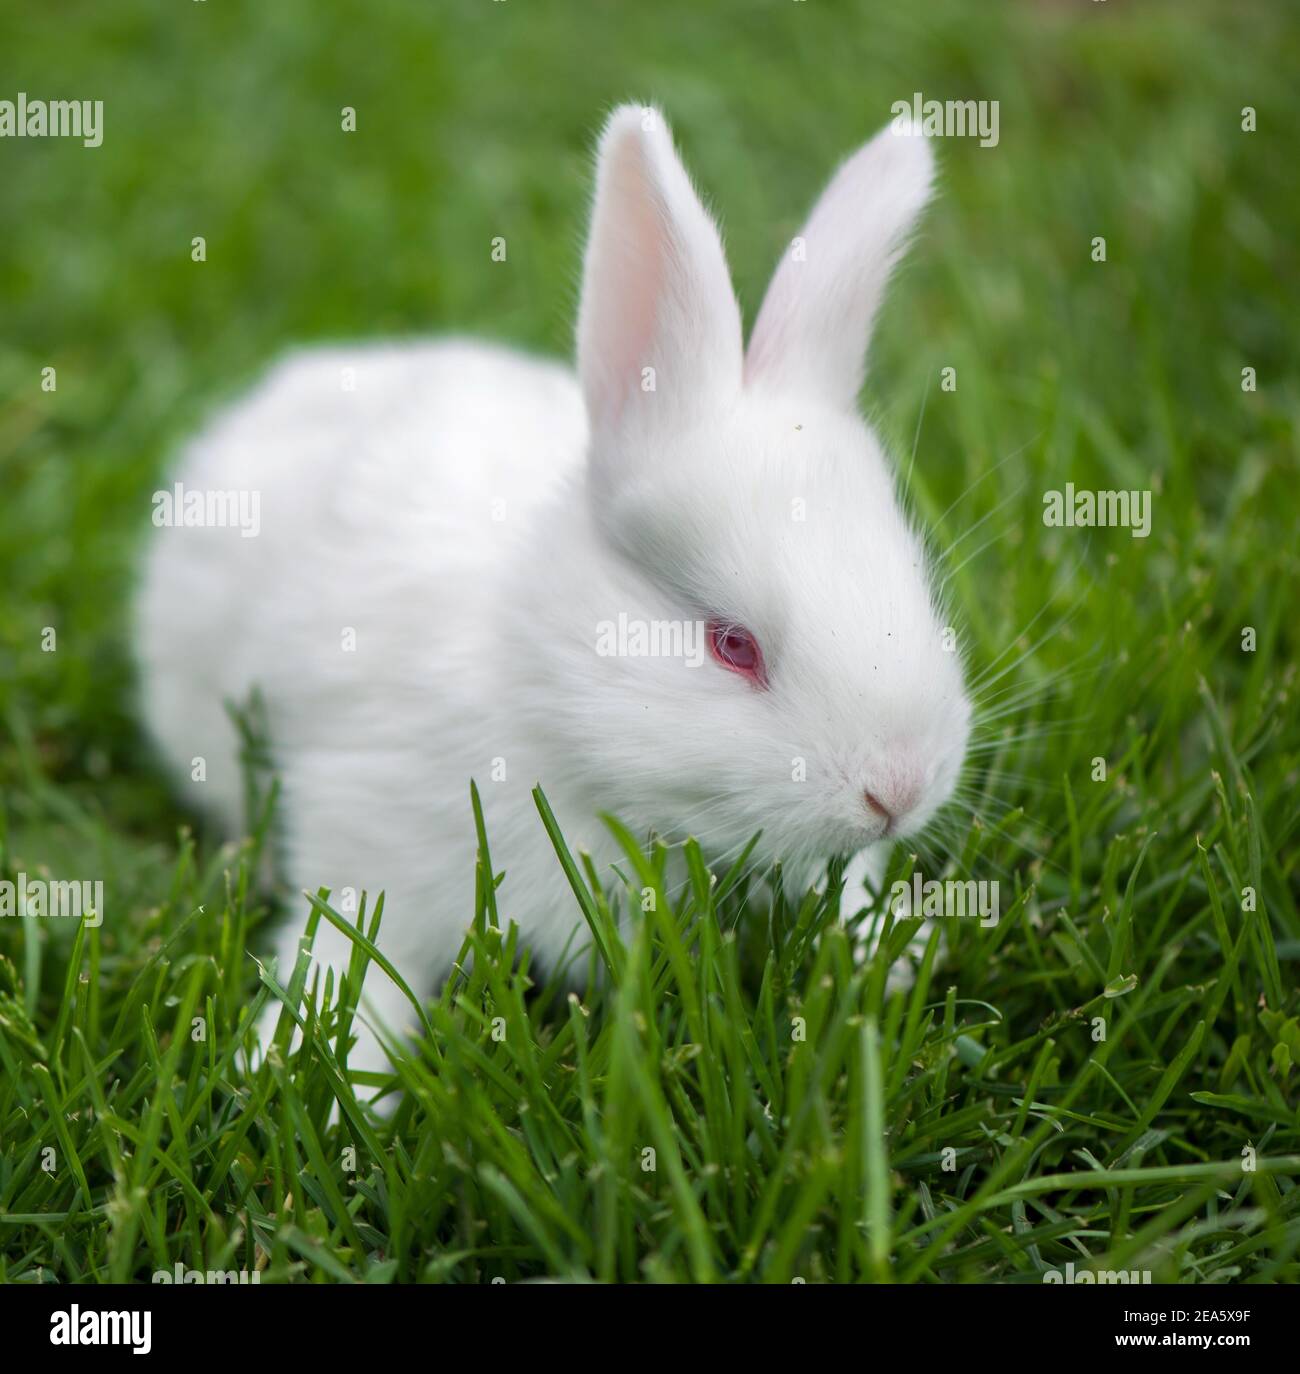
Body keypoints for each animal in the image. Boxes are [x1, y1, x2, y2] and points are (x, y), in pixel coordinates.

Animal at [134, 103, 971, 1086]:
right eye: (732, 644)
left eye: (914, 582)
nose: (900, 791)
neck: (540, 680)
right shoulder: (369, 834)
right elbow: (353, 957)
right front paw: (295, 1069)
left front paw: (895, 955)